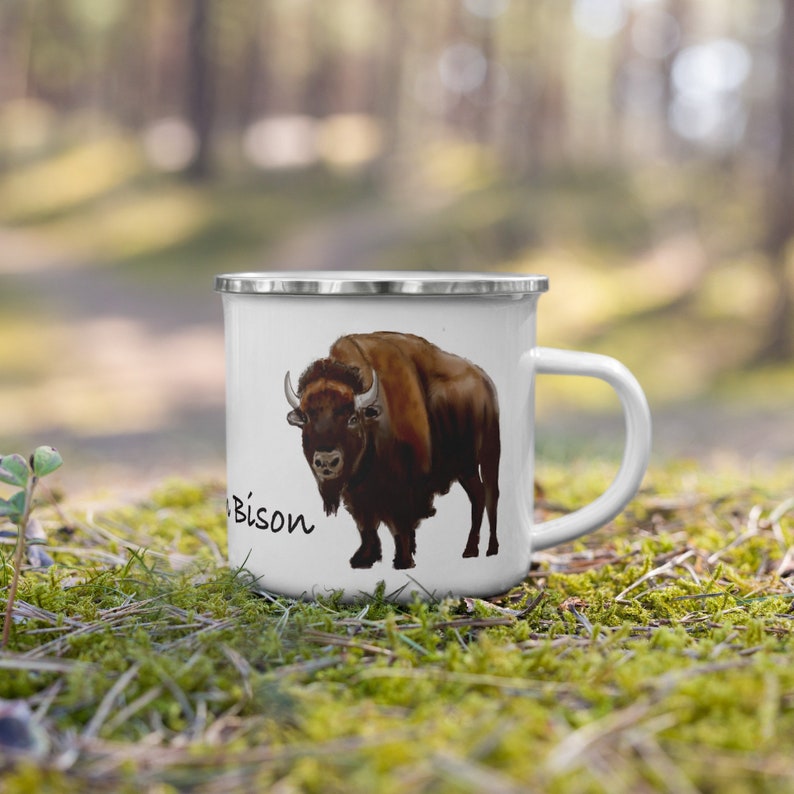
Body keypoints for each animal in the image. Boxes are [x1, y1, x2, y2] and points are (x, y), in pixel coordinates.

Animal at [285, 332, 500, 570]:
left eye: (352, 418)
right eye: (306, 419)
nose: (326, 460)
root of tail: (484, 380)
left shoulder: (406, 489)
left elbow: (400, 526)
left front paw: (403, 561)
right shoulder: (357, 492)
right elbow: (366, 525)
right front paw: (363, 558)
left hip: (489, 454)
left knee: (491, 495)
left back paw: (491, 549)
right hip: (466, 467)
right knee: (478, 495)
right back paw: (470, 550)